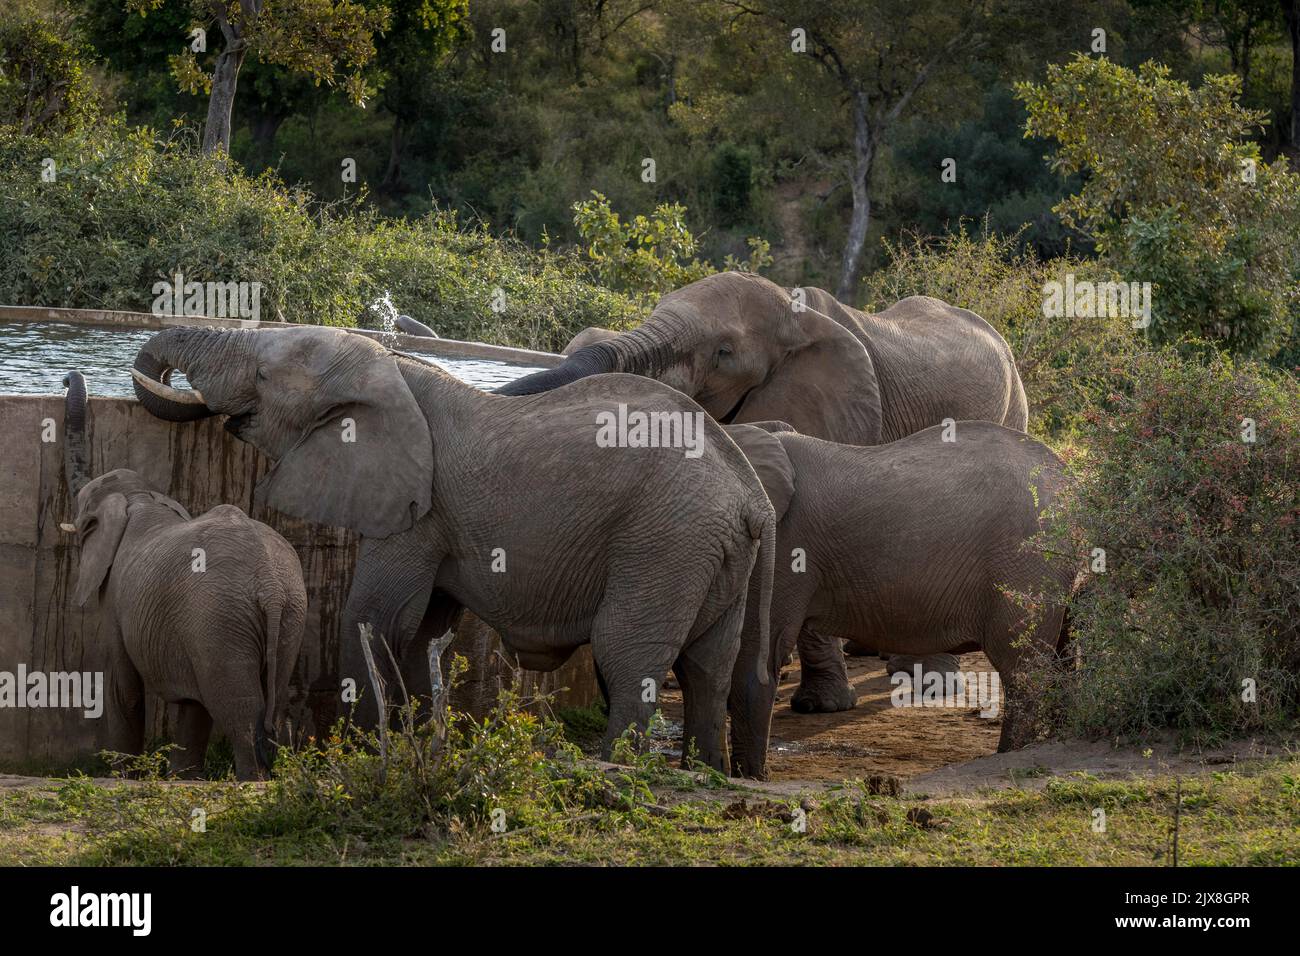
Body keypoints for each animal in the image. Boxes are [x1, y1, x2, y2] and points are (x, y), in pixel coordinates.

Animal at [61, 371, 307, 781]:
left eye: (84, 521)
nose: (68, 377)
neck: (139, 498)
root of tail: (271, 587)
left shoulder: (117, 601)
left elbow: (124, 690)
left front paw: (122, 777)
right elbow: (193, 707)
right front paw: (180, 780)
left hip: (221, 622)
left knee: (241, 714)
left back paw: (251, 783)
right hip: (286, 617)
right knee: (271, 702)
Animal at [128, 325, 776, 775]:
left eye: (264, 377)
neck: (390, 370)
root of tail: (754, 498)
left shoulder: (415, 510)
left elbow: (376, 616)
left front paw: (356, 754)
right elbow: (421, 633)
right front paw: (410, 740)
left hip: (665, 540)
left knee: (626, 653)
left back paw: (614, 766)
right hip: (709, 551)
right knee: (708, 667)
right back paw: (707, 773)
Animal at [722, 419, 1076, 778]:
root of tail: (1068, 479)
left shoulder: (784, 545)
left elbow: (756, 657)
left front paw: (748, 776)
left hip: (1026, 566)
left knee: (1023, 669)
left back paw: (1009, 753)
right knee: (1063, 654)